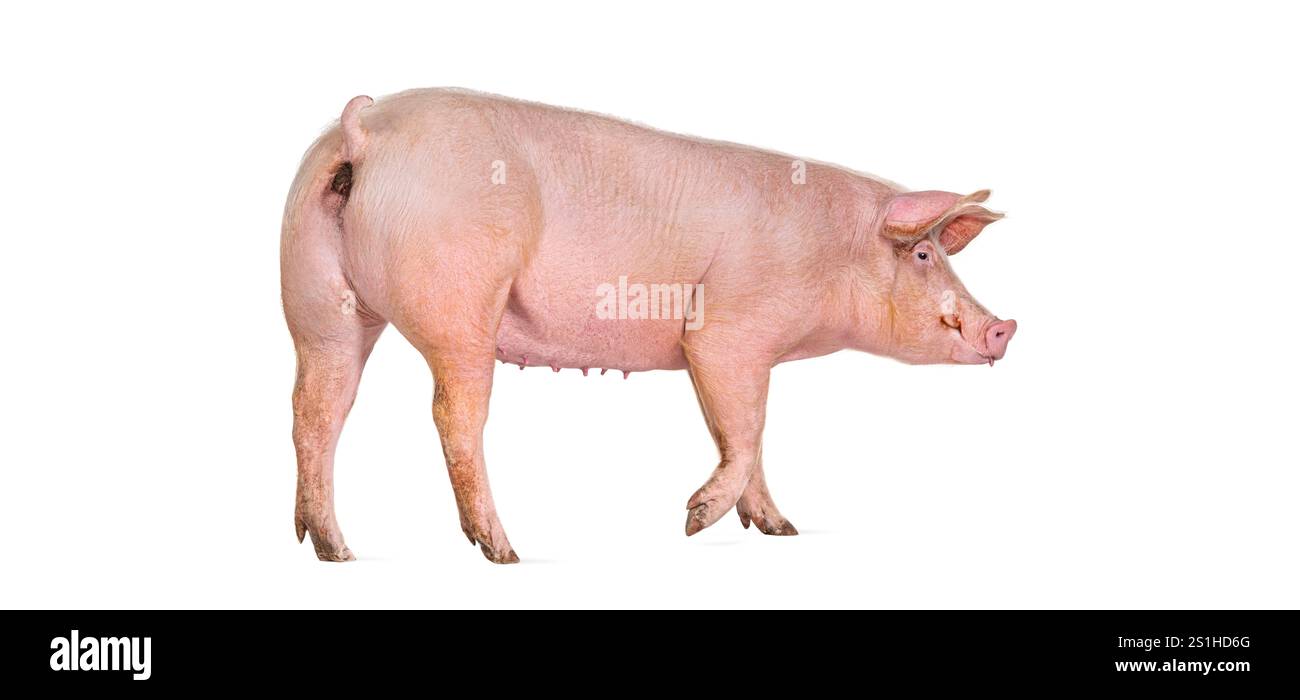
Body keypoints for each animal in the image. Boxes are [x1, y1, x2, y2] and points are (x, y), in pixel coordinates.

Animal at [281, 89, 1017, 564]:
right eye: (923, 256)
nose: (1005, 326)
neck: (831, 252)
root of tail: (365, 130)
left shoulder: (736, 359)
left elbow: (743, 433)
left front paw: (781, 532)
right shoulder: (726, 333)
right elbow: (747, 430)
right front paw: (694, 523)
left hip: (316, 303)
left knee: (316, 409)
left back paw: (333, 550)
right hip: (459, 305)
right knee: (452, 415)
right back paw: (504, 551)